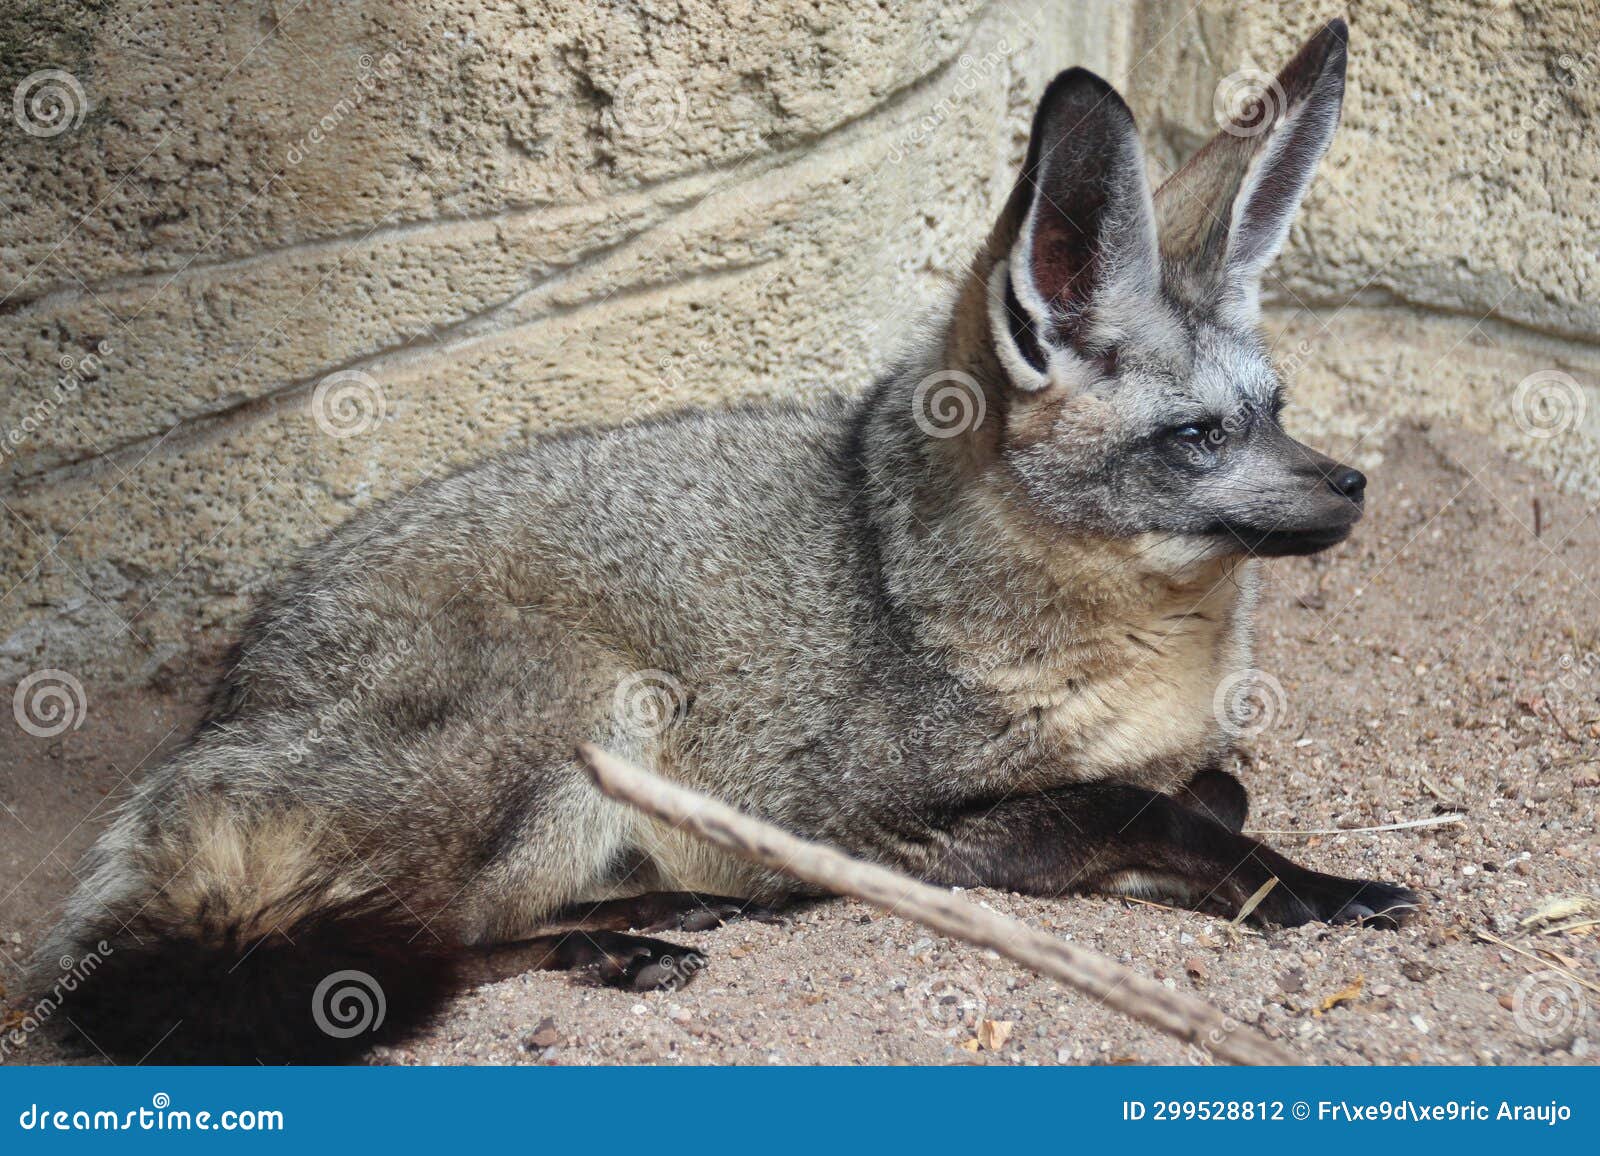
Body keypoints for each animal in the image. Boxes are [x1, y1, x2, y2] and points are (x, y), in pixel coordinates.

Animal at [29, 18, 1418, 1063]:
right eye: (1195, 436)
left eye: (1275, 409)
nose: (1352, 485)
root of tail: (225, 707)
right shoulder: (877, 818)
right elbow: (1143, 811)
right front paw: (1310, 885)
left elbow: (1210, 781)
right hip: (577, 708)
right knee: (433, 940)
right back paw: (625, 932)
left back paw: (665, 894)